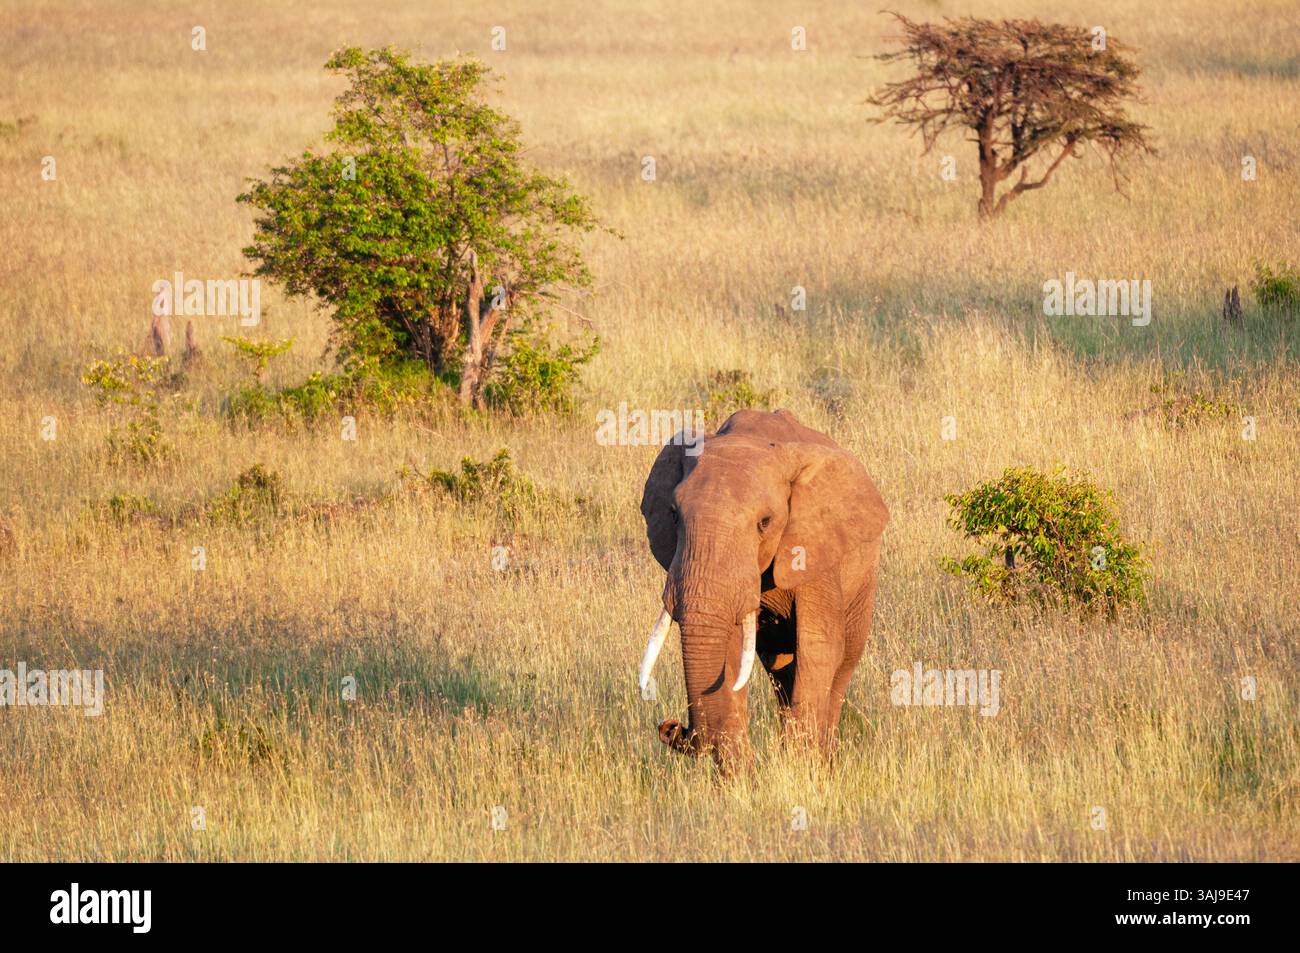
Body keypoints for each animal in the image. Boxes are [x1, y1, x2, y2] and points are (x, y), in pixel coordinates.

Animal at [638, 408, 889, 774]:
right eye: (673, 514)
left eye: (765, 522)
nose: (670, 727)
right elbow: (729, 652)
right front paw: (740, 778)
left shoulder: (815, 546)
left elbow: (819, 645)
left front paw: (804, 771)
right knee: (780, 670)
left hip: (863, 579)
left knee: (842, 663)